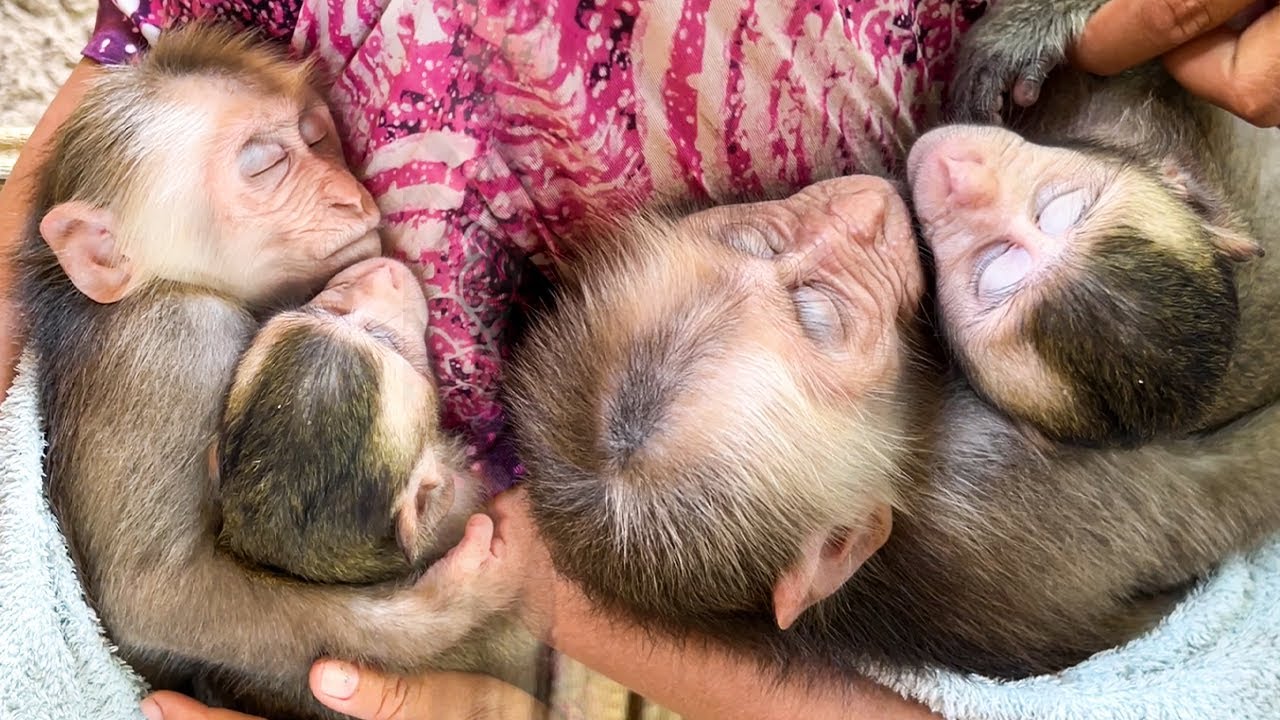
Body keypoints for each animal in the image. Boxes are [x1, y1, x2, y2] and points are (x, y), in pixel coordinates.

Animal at [18, 23, 523, 719]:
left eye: (316, 136)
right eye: (265, 165)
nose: (347, 194)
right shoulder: (177, 337)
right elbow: (154, 596)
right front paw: (445, 611)